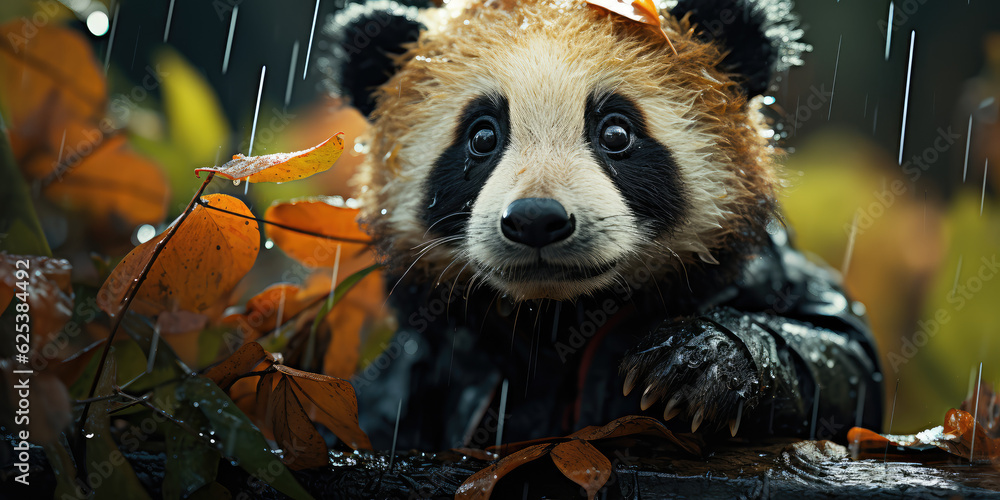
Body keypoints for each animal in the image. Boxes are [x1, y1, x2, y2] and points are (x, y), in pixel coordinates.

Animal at [321, 0, 884, 451]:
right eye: (482, 136)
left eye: (615, 131)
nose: (536, 220)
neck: (557, 315)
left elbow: (845, 355)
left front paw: (696, 365)